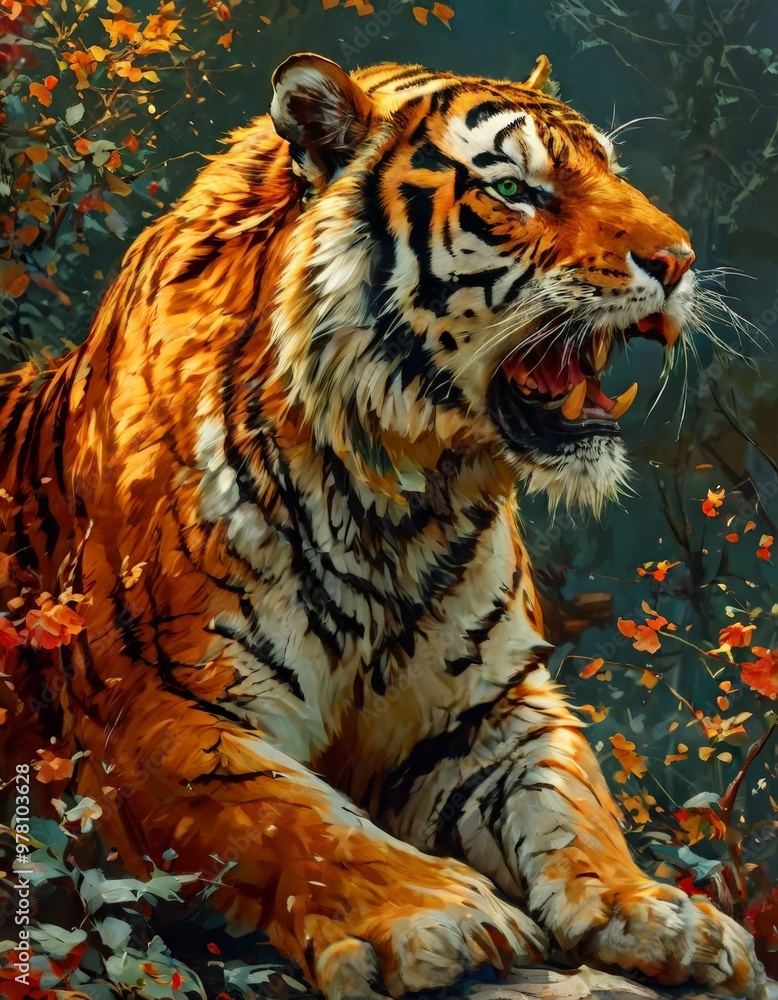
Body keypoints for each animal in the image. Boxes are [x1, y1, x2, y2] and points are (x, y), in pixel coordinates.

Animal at [0, 52, 766, 1000]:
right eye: (513, 189)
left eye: (613, 174)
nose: (680, 261)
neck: (398, 497)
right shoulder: (156, 713)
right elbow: (295, 817)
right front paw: (442, 915)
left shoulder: (491, 706)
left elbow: (574, 802)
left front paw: (664, 915)